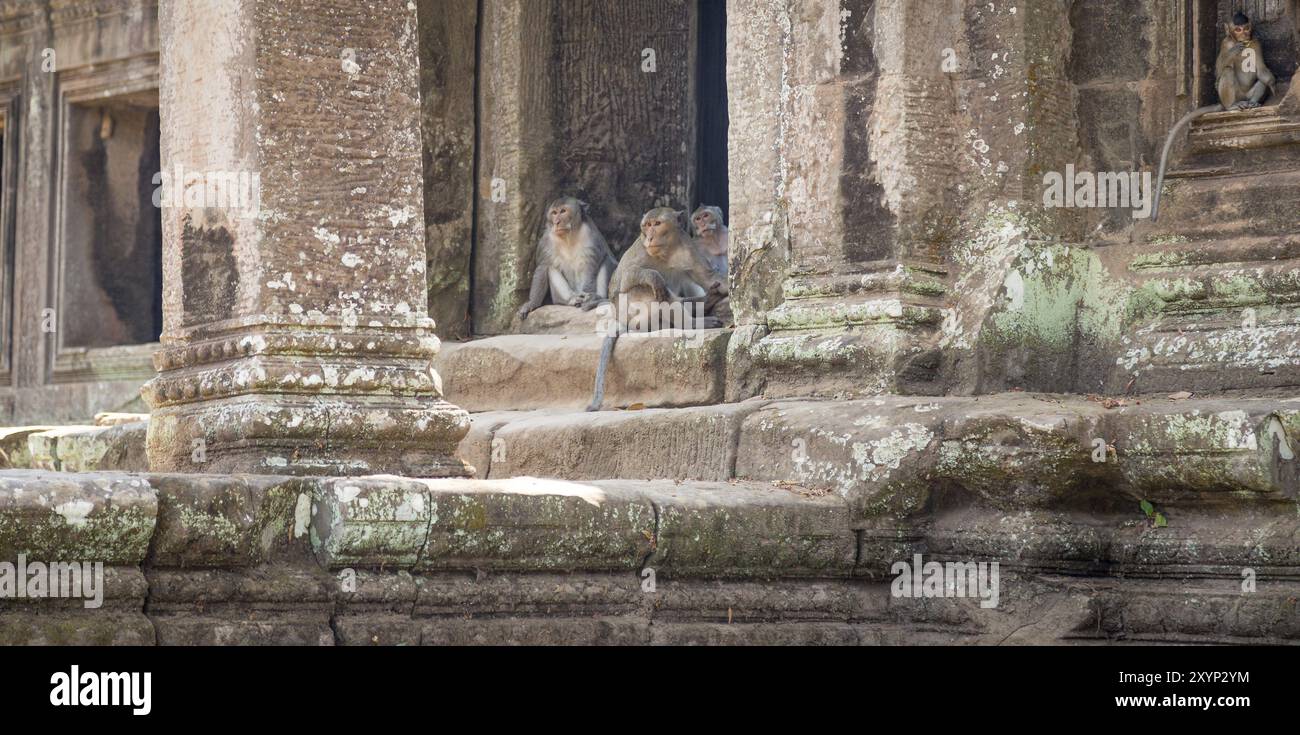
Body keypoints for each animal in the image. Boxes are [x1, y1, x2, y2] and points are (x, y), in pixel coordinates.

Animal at [587, 207, 729, 411]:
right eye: (646, 225)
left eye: (657, 224)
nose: (650, 237)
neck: (666, 252)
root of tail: (620, 320)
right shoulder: (641, 250)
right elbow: (628, 277)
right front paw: (653, 276)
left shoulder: (688, 247)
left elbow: (709, 278)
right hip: (633, 312)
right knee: (651, 291)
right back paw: (693, 323)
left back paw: (706, 301)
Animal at [1152, 12, 1276, 221]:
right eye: (1237, 29)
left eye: (1246, 28)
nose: (1244, 35)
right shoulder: (1225, 44)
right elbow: (1219, 71)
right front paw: (1235, 50)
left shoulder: (1256, 42)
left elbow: (1260, 70)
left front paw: (1273, 84)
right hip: (1231, 96)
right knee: (1226, 72)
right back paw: (1232, 107)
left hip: (1248, 93)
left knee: (1259, 82)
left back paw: (1252, 103)